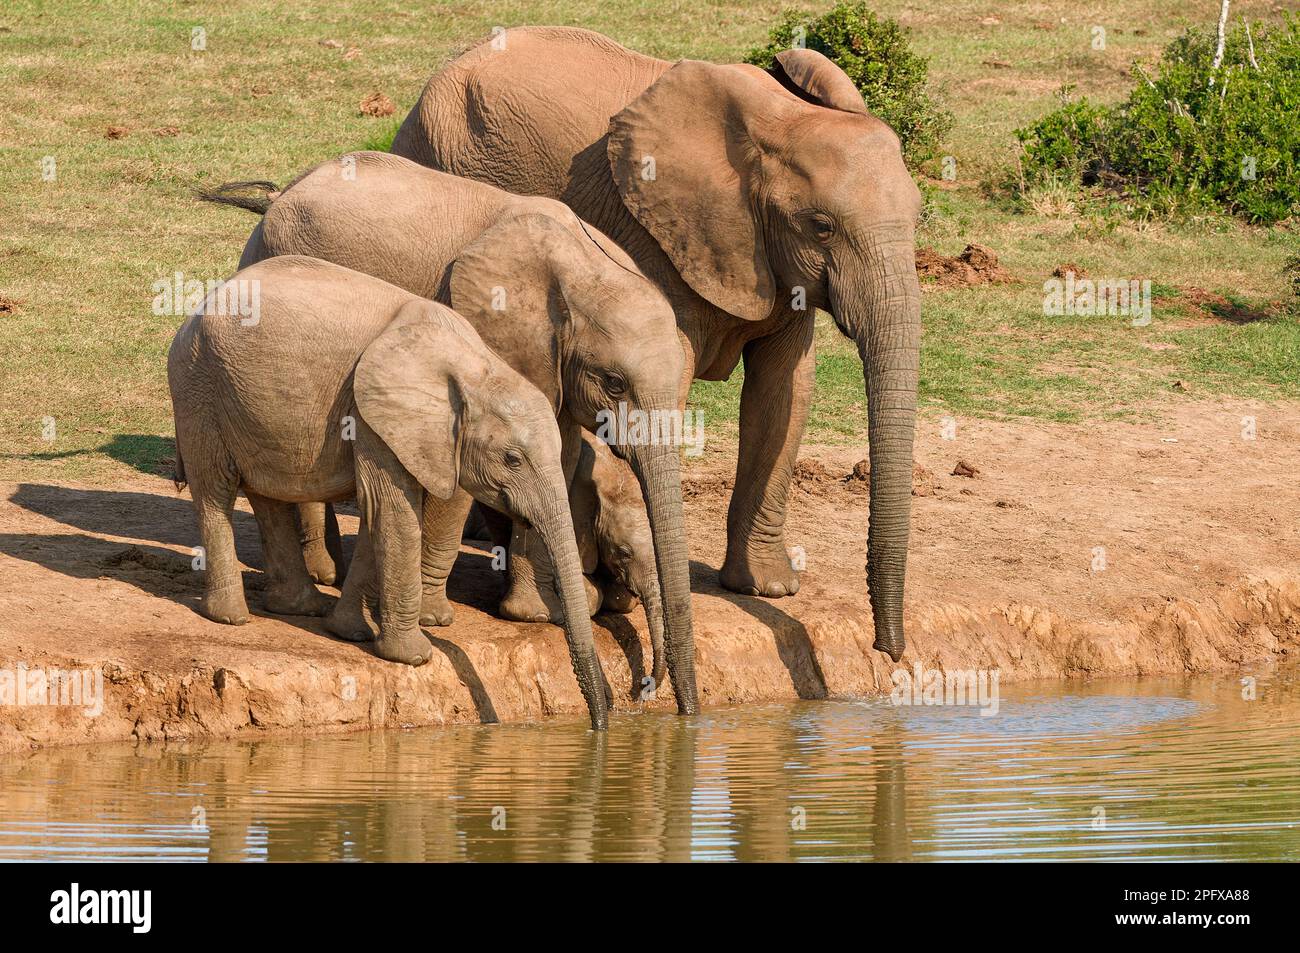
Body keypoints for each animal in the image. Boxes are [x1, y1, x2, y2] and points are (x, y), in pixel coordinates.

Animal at [167, 255, 608, 729]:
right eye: (512, 459)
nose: (599, 725)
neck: (475, 368)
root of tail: (202, 303)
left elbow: (378, 516)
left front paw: (349, 632)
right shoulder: (374, 415)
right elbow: (394, 513)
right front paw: (413, 658)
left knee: (269, 495)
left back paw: (300, 609)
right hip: (198, 386)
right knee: (215, 490)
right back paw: (231, 618)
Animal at [200, 150, 697, 713]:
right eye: (614, 382)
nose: (650, 693)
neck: (582, 266)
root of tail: (284, 192)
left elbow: (562, 456)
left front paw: (540, 610)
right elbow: (460, 476)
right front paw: (446, 620)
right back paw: (324, 577)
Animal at [390, 27, 923, 661]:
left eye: (919, 217)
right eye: (821, 226)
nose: (890, 650)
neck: (780, 123)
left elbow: (785, 392)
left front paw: (766, 587)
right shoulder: (659, 236)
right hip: (432, 156)